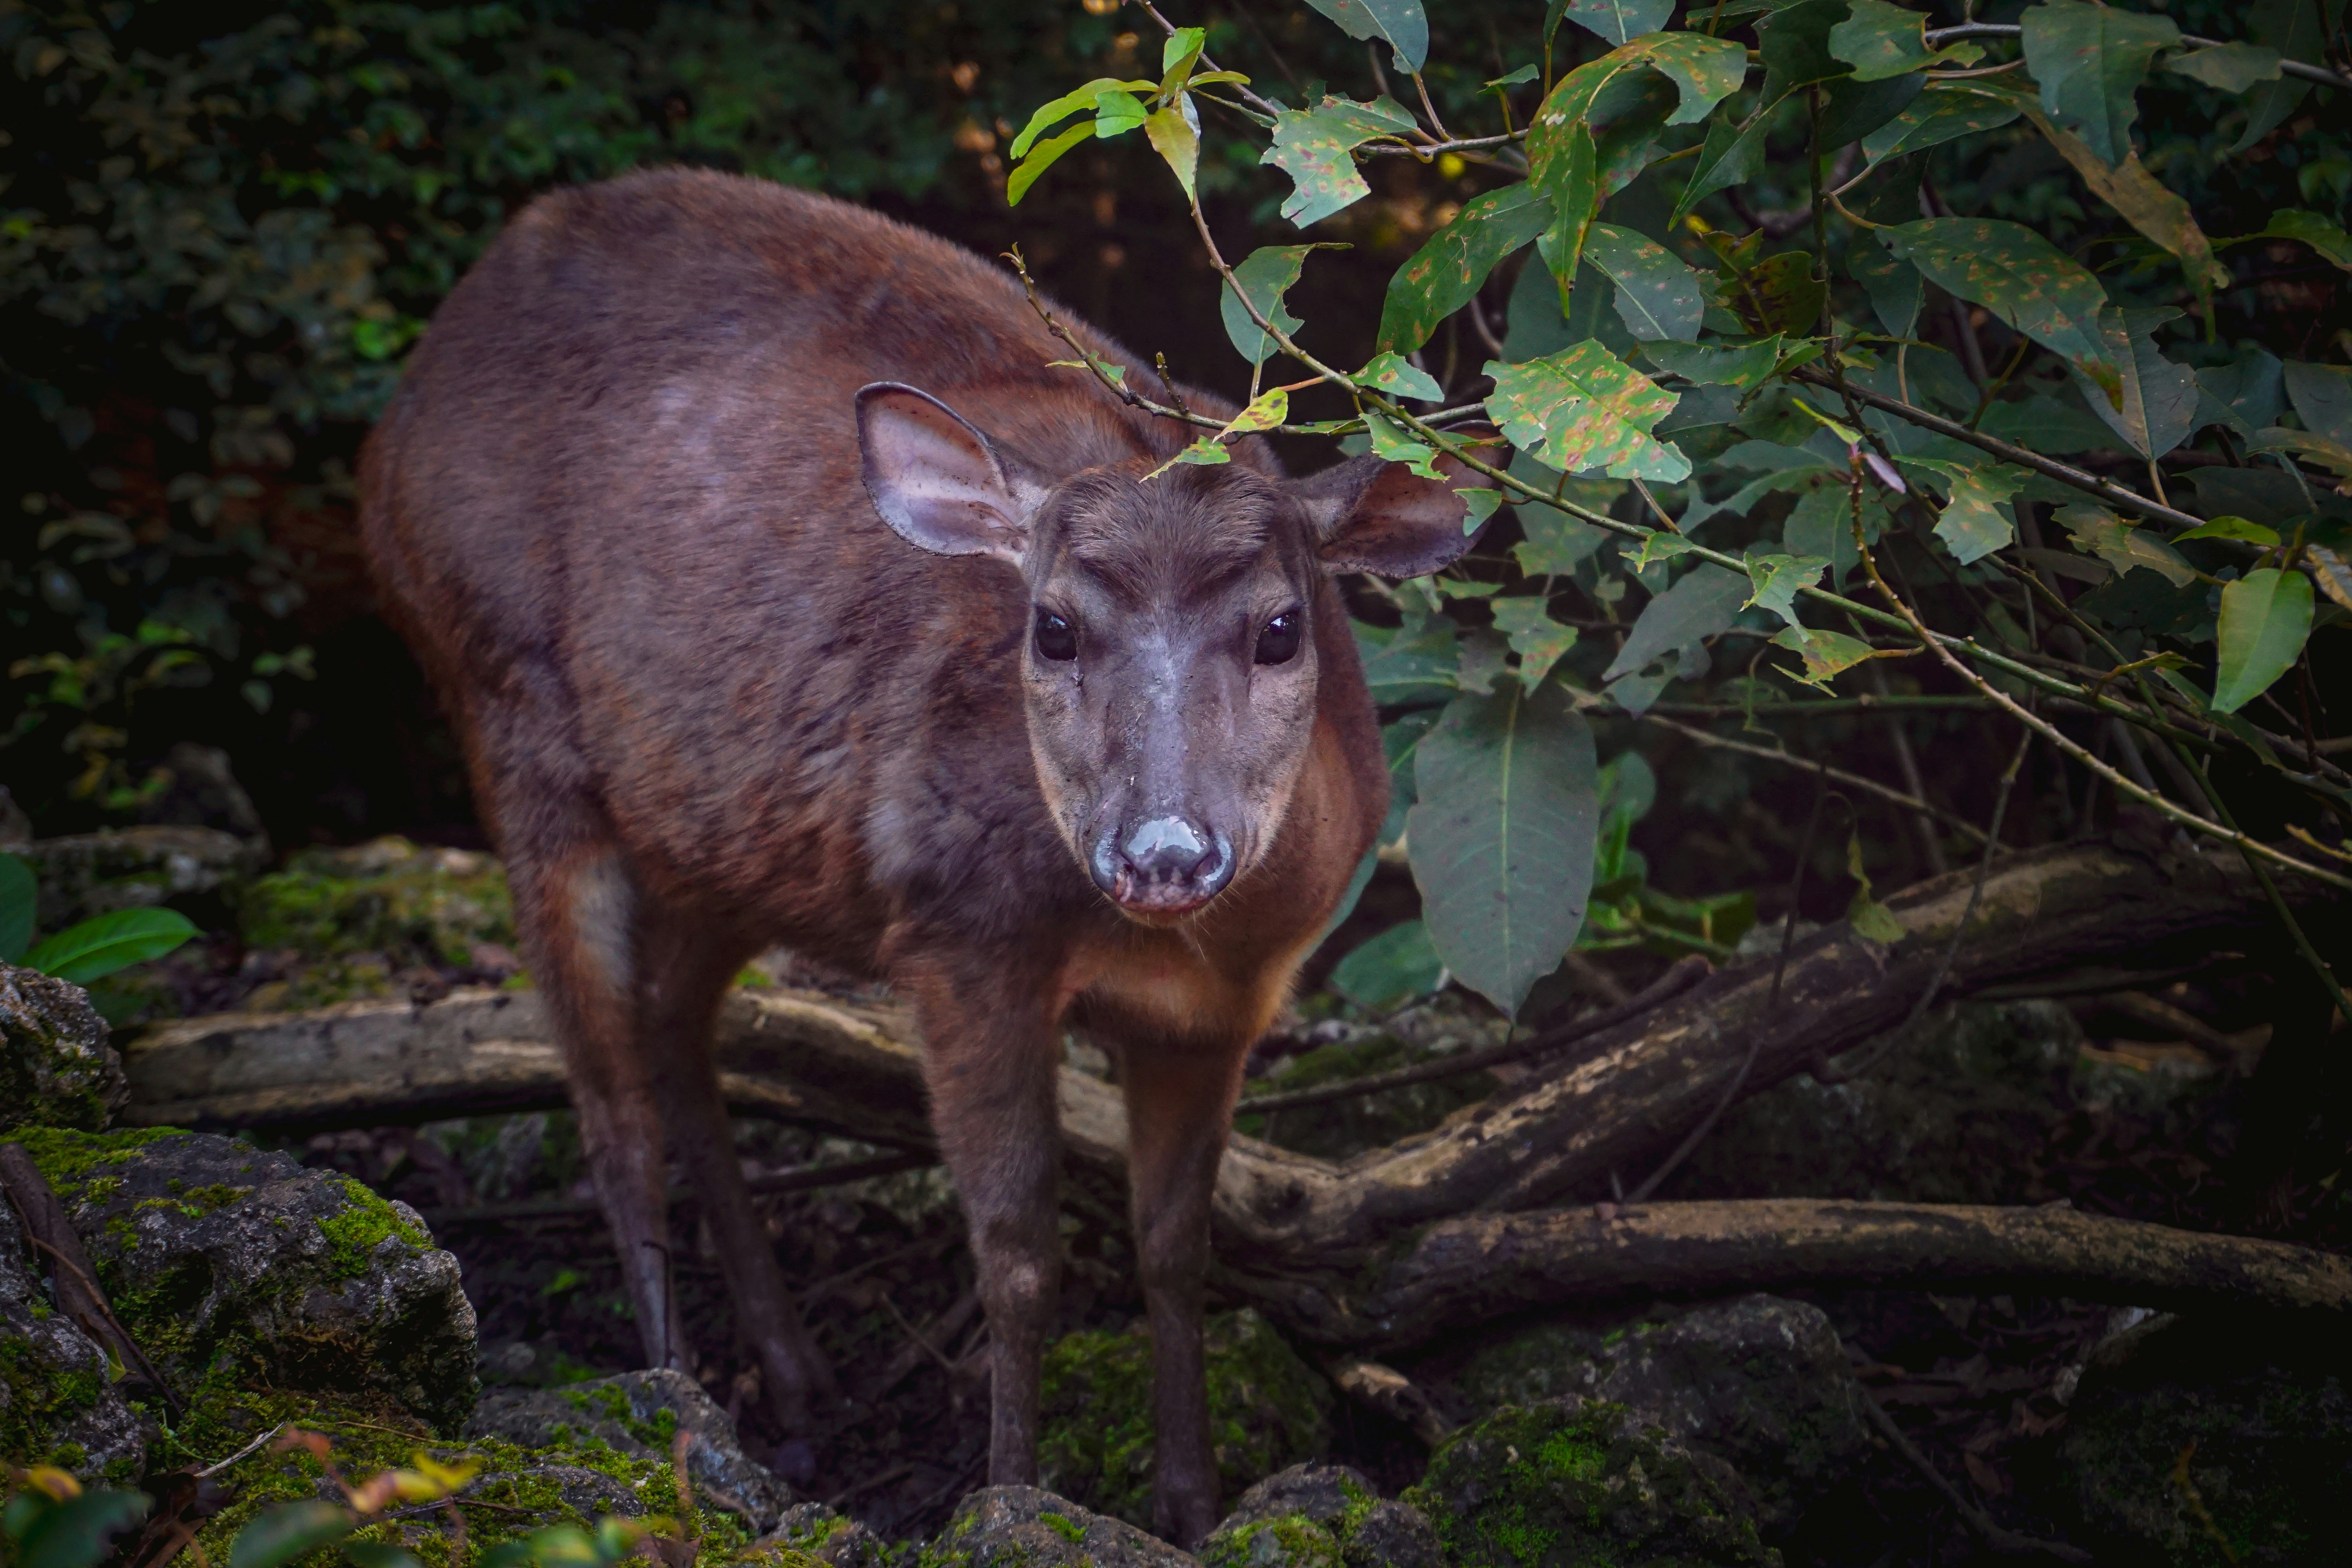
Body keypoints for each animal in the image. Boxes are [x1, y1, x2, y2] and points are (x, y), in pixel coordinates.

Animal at [360, 166, 1489, 1544]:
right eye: (1051, 628)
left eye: (1281, 627)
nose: (1164, 850)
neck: (1160, 944)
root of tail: (398, 412)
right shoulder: (960, 936)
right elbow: (1016, 1257)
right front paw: (1010, 1492)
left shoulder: (1226, 1005)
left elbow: (1177, 1245)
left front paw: (1189, 1499)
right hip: (505, 703)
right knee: (608, 1106)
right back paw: (674, 1398)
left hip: (721, 831)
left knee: (675, 1025)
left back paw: (795, 1373)